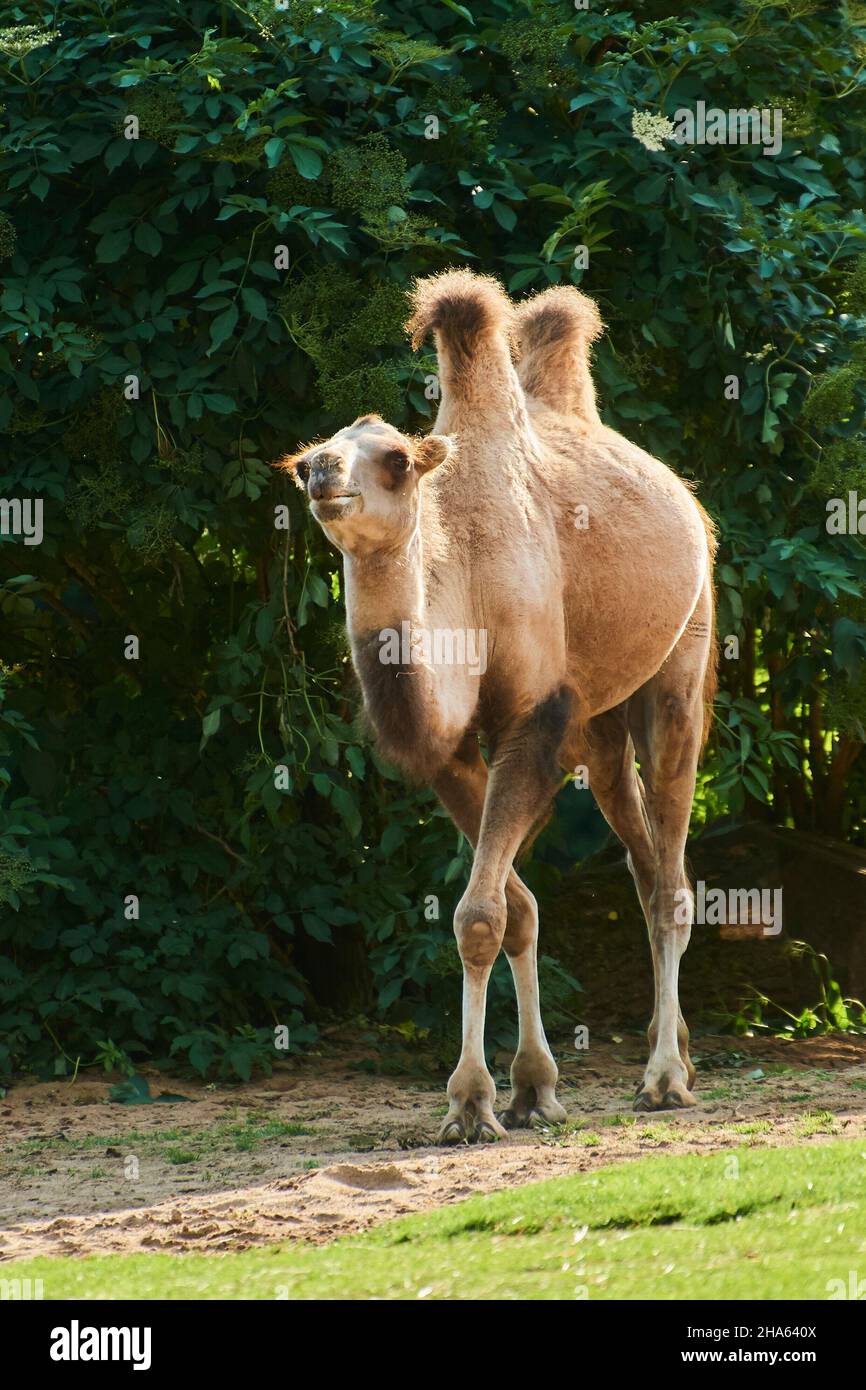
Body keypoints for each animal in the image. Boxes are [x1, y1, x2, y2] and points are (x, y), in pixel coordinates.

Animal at [279, 270, 717, 1143]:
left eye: (396, 458)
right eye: (313, 453)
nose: (321, 474)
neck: (468, 586)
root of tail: (684, 499)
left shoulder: (532, 722)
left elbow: (479, 915)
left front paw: (471, 1103)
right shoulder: (451, 753)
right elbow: (515, 910)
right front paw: (529, 1088)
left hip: (684, 657)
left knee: (671, 878)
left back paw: (663, 1079)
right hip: (602, 727)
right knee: (643, 856)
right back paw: (675, 1047)